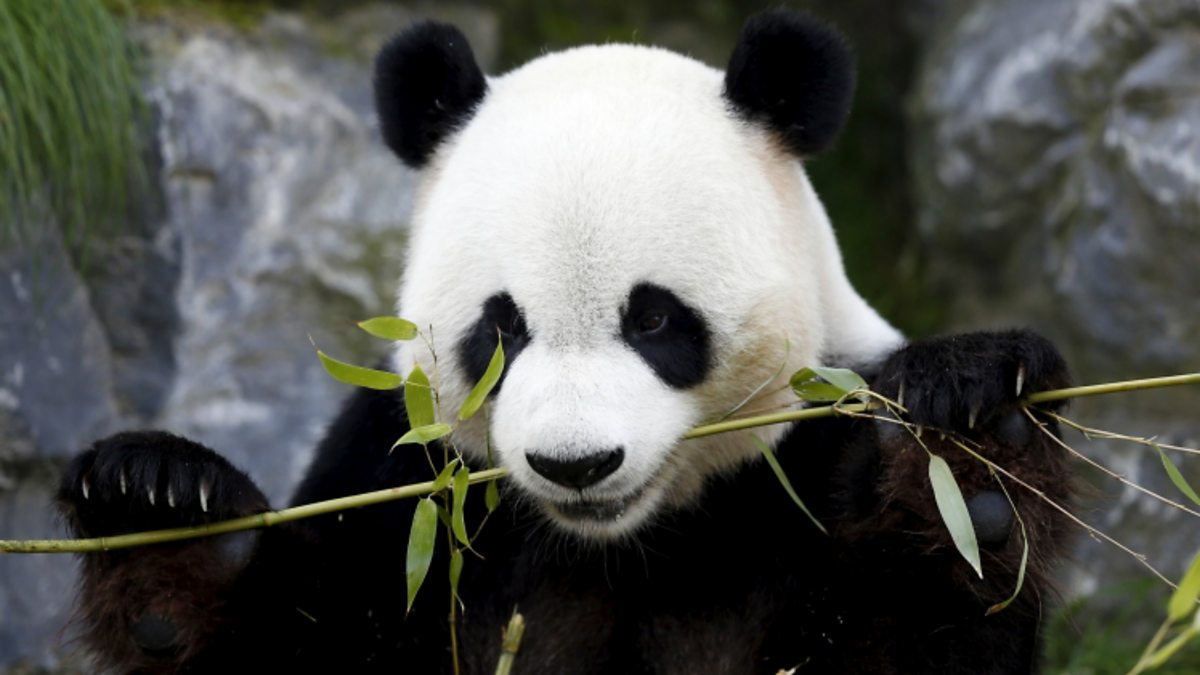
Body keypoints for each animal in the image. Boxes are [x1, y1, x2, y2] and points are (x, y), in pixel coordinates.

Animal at [57, 10, 1073, 674]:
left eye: (654, 318)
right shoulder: (403, 492)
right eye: (500, 328)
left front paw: (974, 440)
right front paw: (160, 505)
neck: (621, 542)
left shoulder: (804, 466)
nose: (576, 464)